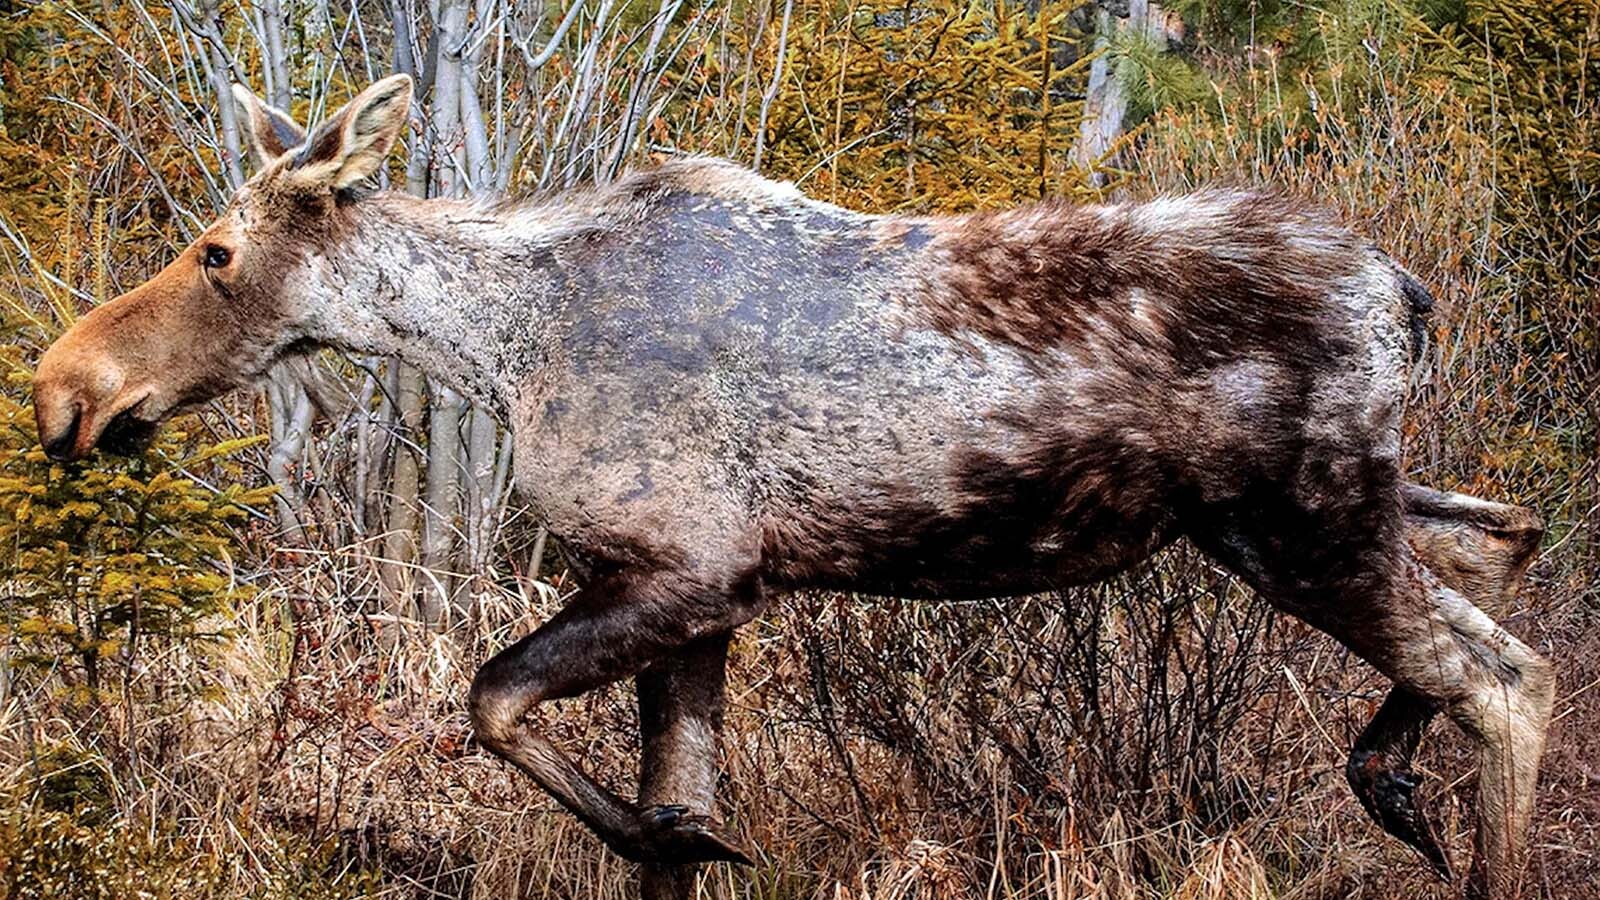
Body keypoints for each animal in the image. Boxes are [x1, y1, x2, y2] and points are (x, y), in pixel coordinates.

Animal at [30, 75, 1553, 900]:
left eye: (217, 251)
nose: (64, 391)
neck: (501, 346)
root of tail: (1410, 294)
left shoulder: (687, 568)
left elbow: (493, 700)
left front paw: (699, 837)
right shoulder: (705, 601)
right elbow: (650, 819)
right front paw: (686, 831)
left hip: (1299, 520)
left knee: (1510, 677)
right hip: (1339, 505)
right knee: (1507, 547)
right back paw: (1393, 777)